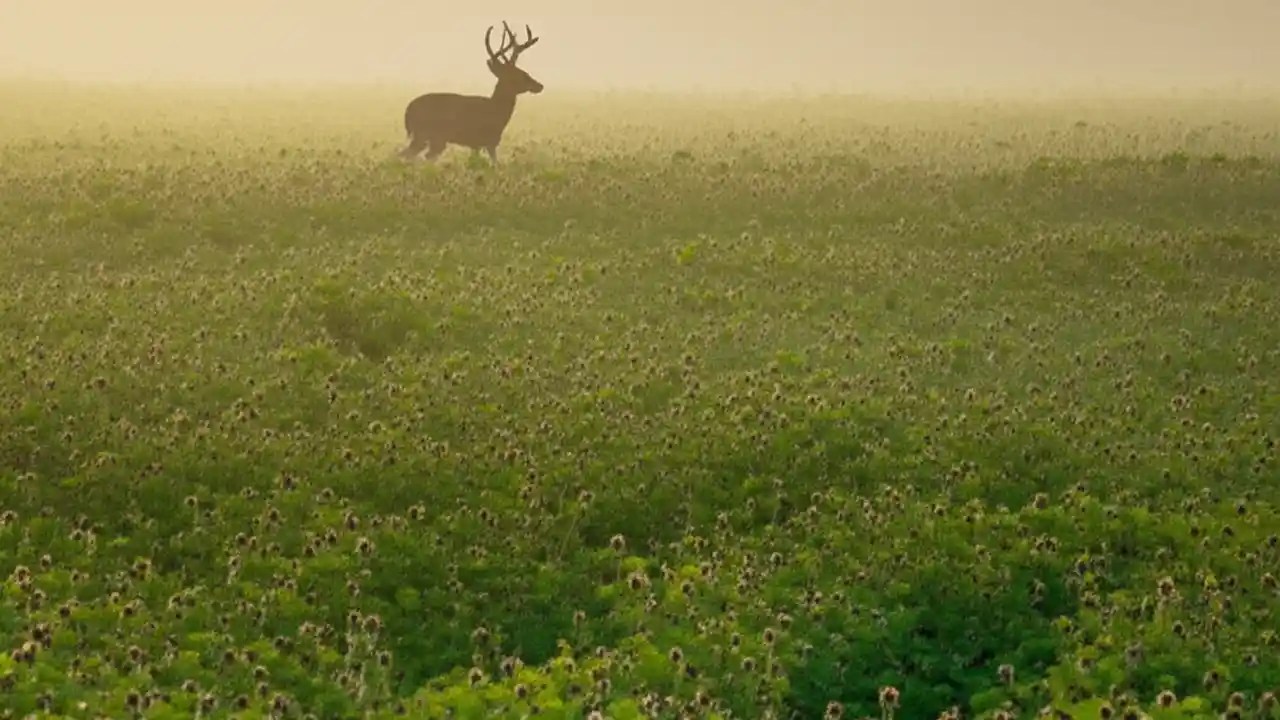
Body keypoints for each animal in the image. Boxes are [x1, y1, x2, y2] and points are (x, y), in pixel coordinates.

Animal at [399, 22, 543, 165]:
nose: (539, 85)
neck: (496, 110)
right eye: (520, 74)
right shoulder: (488, 141)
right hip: (428, 134)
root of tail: (408, 110)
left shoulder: (477, 144)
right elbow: (494, 163)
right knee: (414, 155)